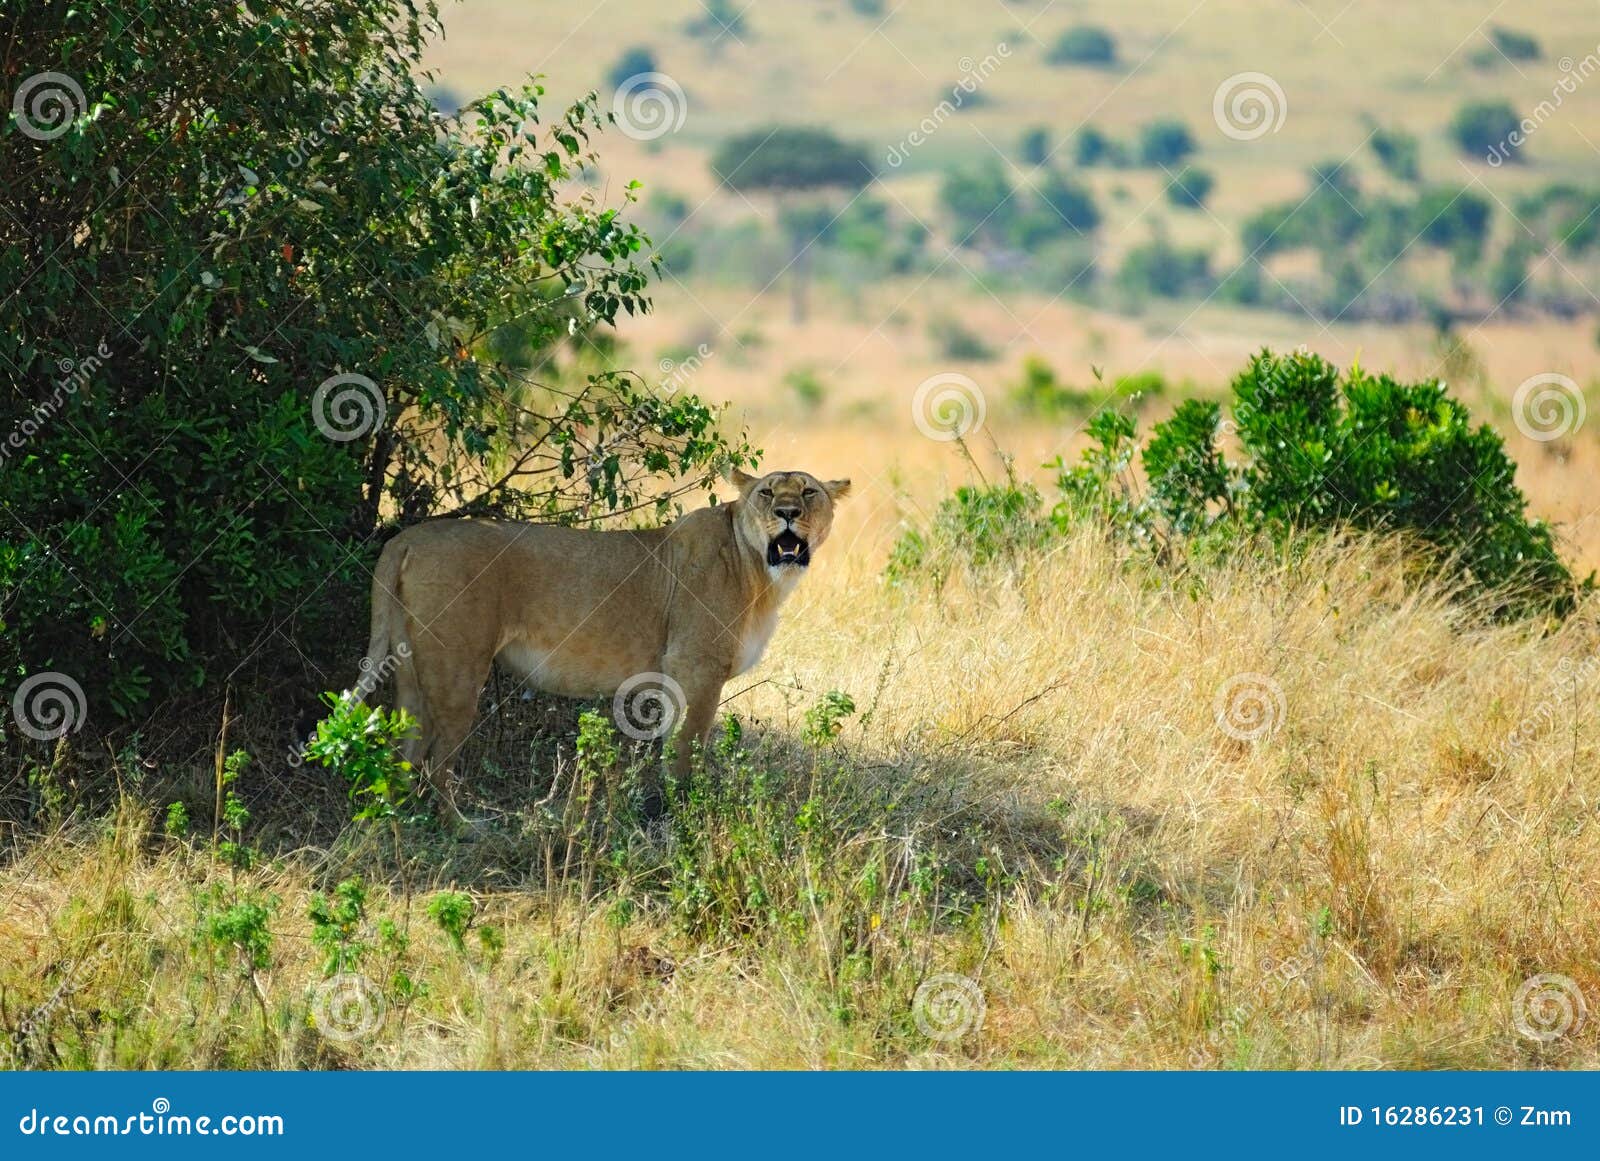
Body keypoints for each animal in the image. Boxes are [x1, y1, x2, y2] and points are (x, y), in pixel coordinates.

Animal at [350, 468, 850, 827]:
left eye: (808, 491)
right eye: (766, 493)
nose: (787, 512)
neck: (762, 575)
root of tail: (406, 538)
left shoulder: (672, 674)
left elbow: (668, 744)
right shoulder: (696, 666)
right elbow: (686, 747)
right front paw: (687, 816)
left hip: (408, 667)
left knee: (403, 750)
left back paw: (397, 821)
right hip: (457, 667)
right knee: (437, 760)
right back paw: (461, 827)